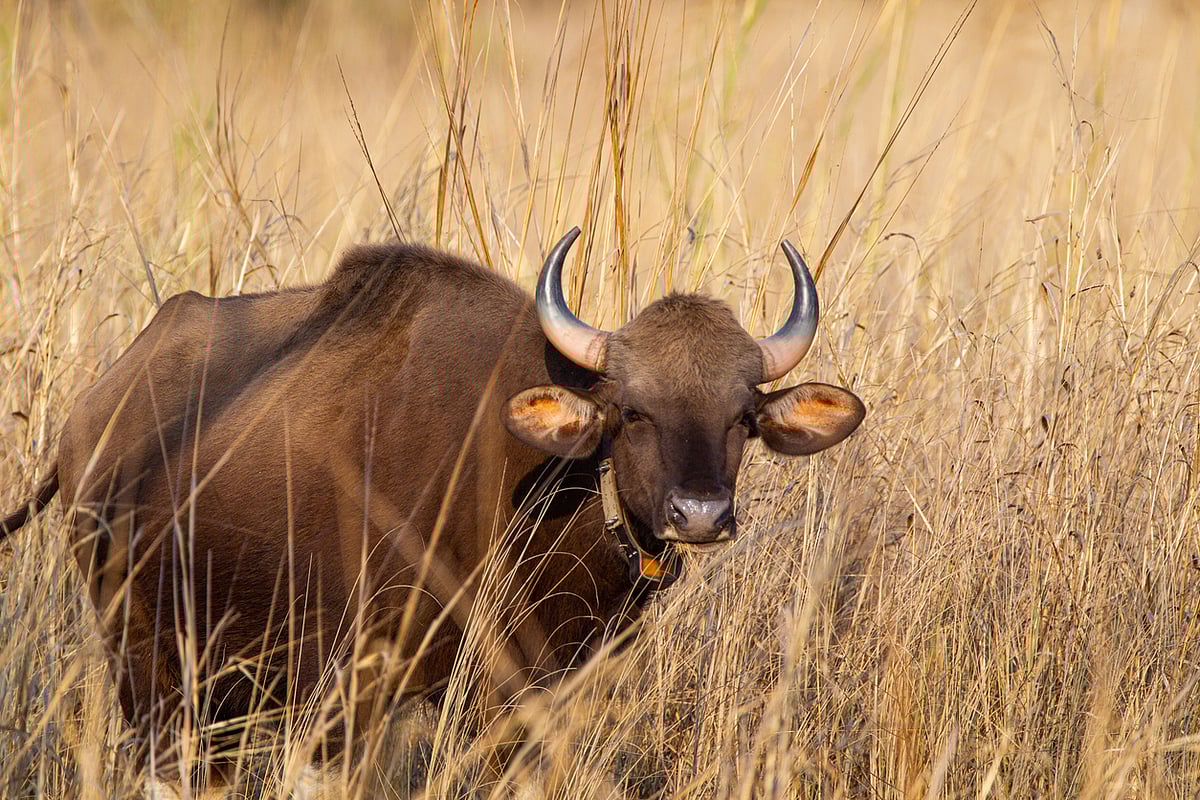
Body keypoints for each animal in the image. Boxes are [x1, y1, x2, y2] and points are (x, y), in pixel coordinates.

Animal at [1, 227, 864, 783]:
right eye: (632, 411)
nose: (700, 514)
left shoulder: (540, 693)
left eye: (741, 416)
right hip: (147, 666)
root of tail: (86, 423)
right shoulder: (353, 692)